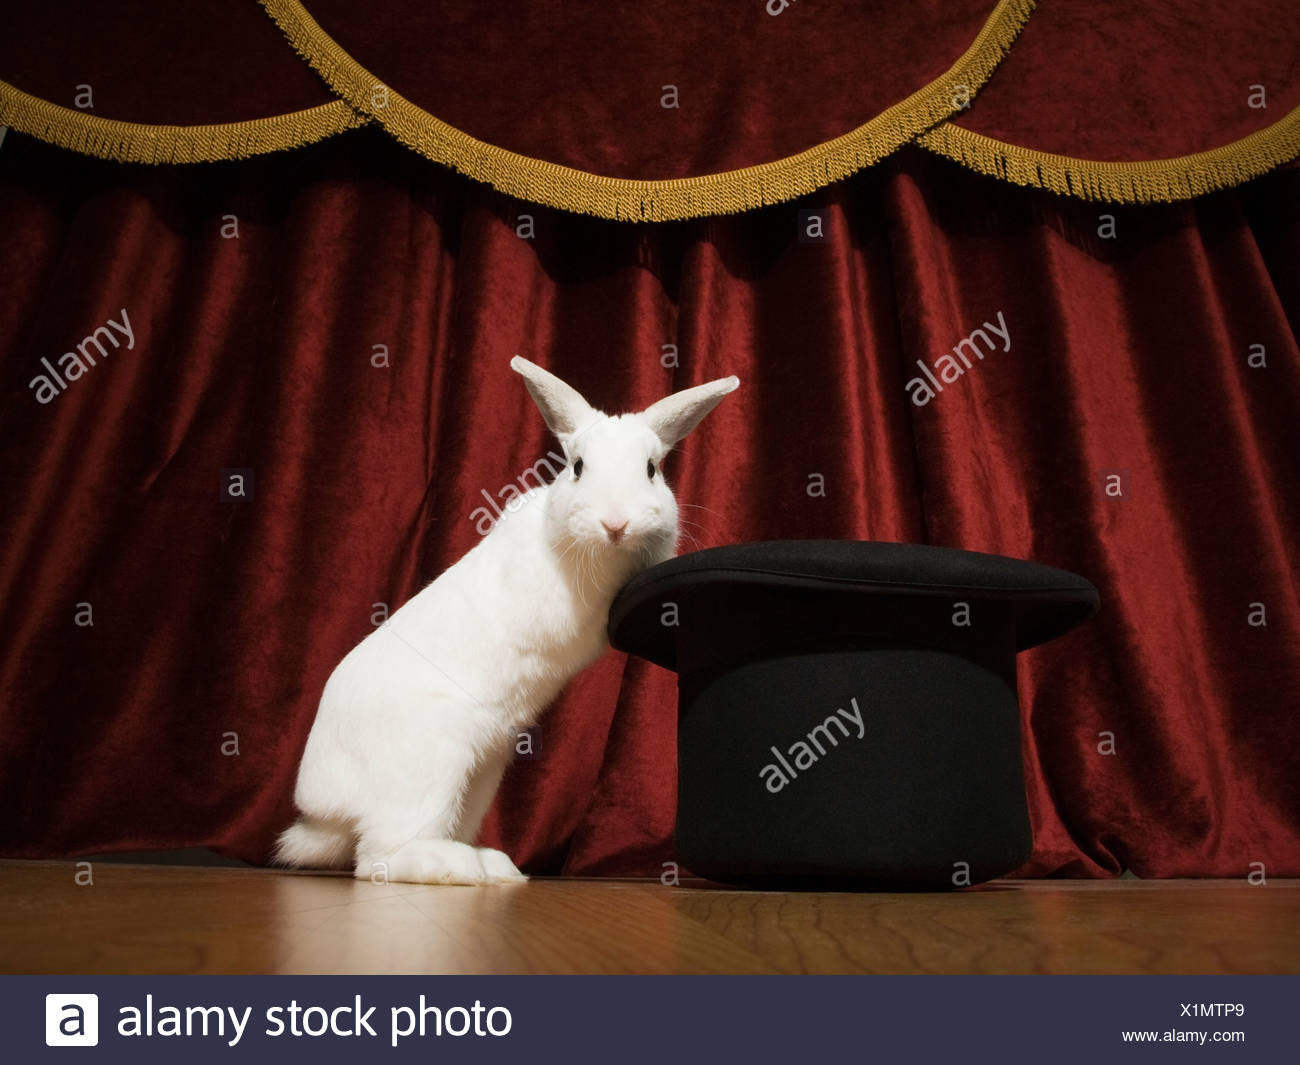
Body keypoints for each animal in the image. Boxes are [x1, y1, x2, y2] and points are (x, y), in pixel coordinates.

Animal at [274, 356, 739, 885]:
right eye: (578, 467)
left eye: (651, 469)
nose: (616, 523)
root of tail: (322, 809)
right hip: (429, 767)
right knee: (377, 858)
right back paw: (456, 868)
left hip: (481, 774)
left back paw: (494, 866)